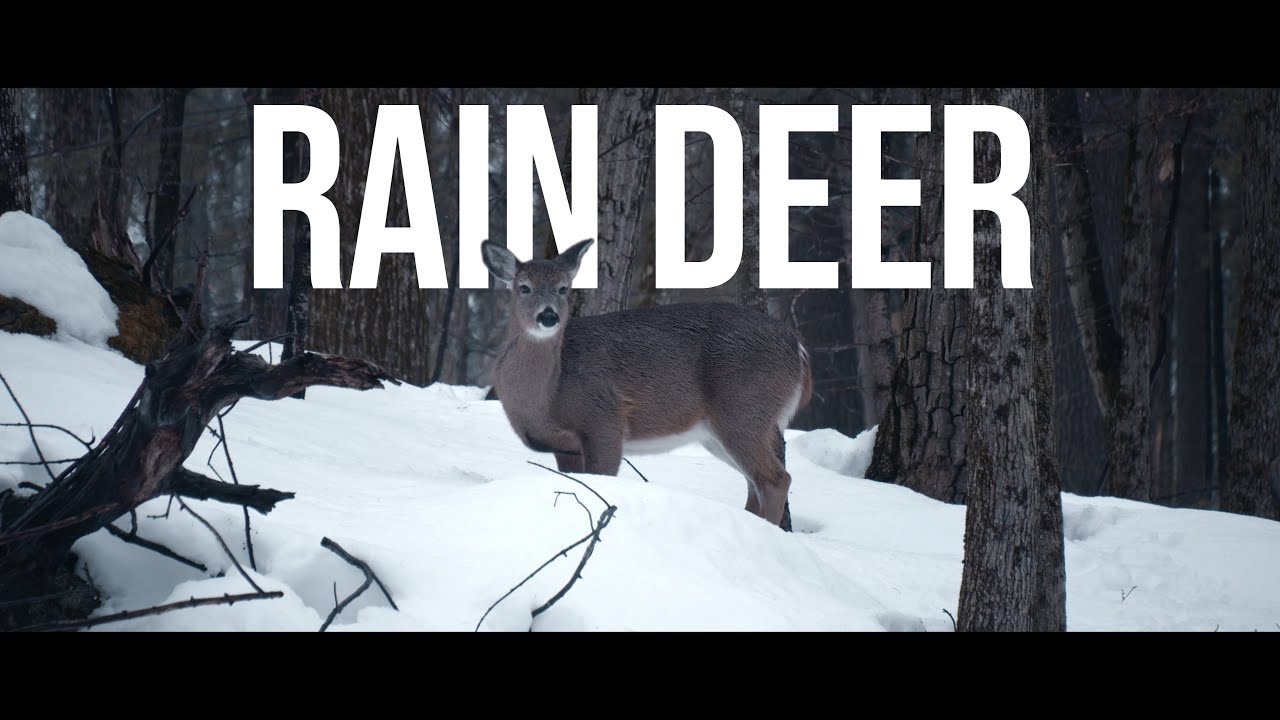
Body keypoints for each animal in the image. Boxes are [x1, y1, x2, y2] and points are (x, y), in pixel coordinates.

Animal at [481, 238, 812, 530]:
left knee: (775, 480)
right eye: (524, 287)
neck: (548, 395)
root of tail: (799, 349)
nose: (548, 316)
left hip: (743, 409)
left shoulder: (604, 419)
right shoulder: (564, 446)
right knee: (753, 483)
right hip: (719, 431)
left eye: (564, 288)